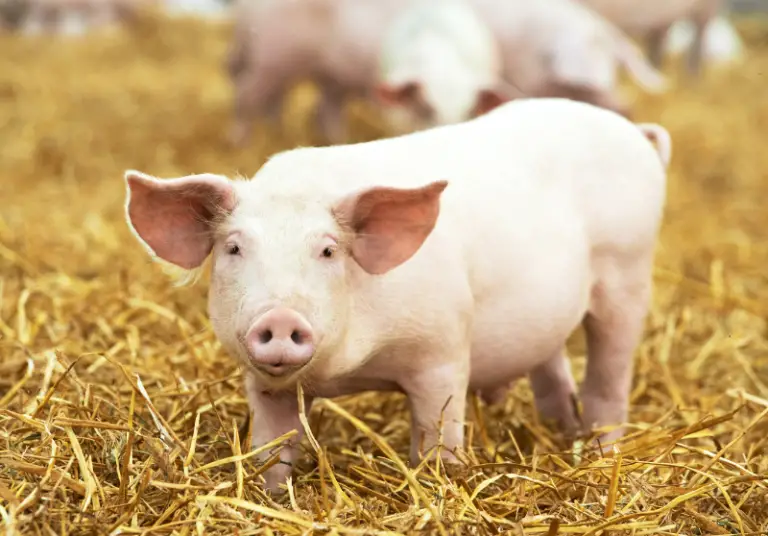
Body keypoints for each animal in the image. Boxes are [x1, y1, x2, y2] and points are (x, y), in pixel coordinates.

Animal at [125, 97, 670, 493]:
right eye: (234, 248)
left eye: (328, 250)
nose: (280, 317)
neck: (351, 371)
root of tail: (635, 133)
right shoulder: (264, 385)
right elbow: (272, 449)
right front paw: (271, 496)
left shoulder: (443, 352)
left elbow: (437, 439)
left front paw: (438, 486)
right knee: (552, 369)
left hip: (629, 274)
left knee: (609, 379)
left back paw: (601, 453)